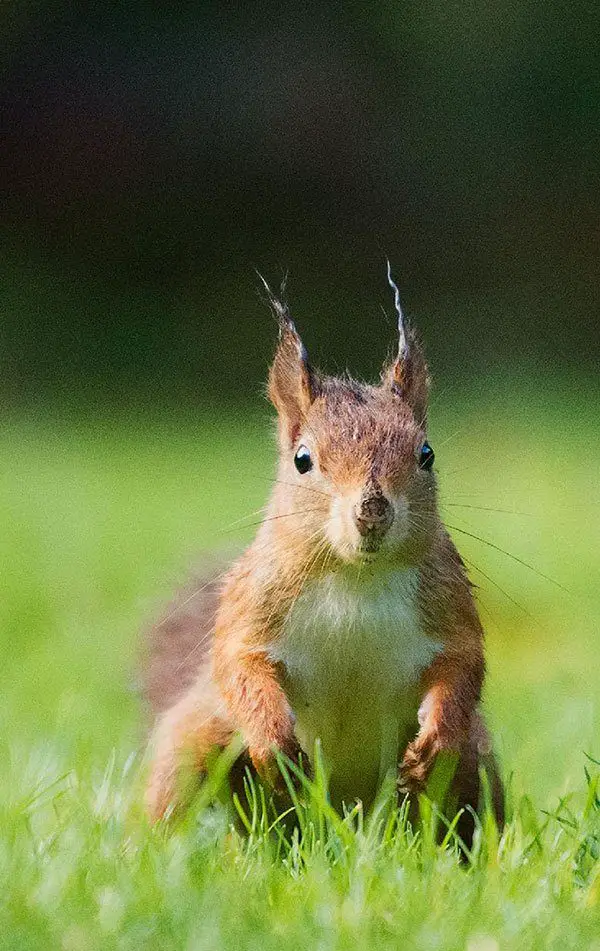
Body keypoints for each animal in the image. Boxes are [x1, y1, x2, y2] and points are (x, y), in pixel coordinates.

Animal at [144, 273, 504, 843]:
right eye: (302, 460)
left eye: (426, 454)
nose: (373, 510)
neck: (355, 576)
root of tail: (344, 815)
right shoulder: (254, 602)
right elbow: (239, 663)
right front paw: (274, 743)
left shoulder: (448, 606)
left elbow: (463, 664)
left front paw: (434, 740)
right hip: (193, 741)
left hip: (477, 764)